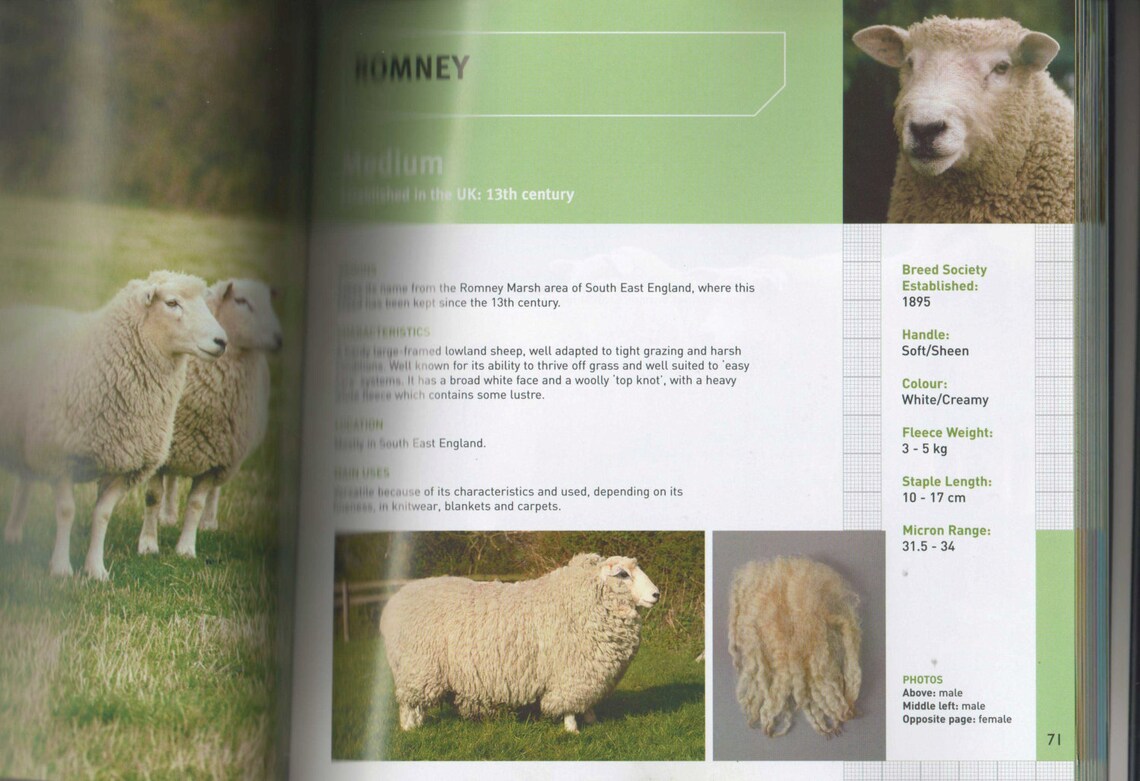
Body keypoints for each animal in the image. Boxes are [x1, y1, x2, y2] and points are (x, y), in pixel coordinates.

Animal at [0, 271, 227, 579]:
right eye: (171, 303)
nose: (222, 341)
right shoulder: (61, 456)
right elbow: (66, 511)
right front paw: (61, 568)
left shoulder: (126, 466)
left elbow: (102, 515)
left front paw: (96, 570)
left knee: (25, 479)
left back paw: (13, 534)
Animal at [136, 279, 282, 558]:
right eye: (241, 301)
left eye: (270, 303)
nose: (279, 339)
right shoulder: (164, 448)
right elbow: (153, 496)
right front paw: (148, 544)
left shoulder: (214, 460)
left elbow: (196, 503)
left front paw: (185, 548)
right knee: (172, 480)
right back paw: (167, 516)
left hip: (230, 456)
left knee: (215, 491)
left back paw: (208, 522)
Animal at [380, 552, 660, 733]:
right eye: (622, 574)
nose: (656, 594)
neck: (581, 601)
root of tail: (393, 604)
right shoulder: (570, 671)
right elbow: (569, 704)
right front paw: (573, 729)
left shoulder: (588, 673)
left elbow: (586, 702)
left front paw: (591, 720)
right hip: (417, 667)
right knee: (408, 703)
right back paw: (409, 730)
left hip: (419, 671)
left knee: (416, 703)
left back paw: (417, 725)